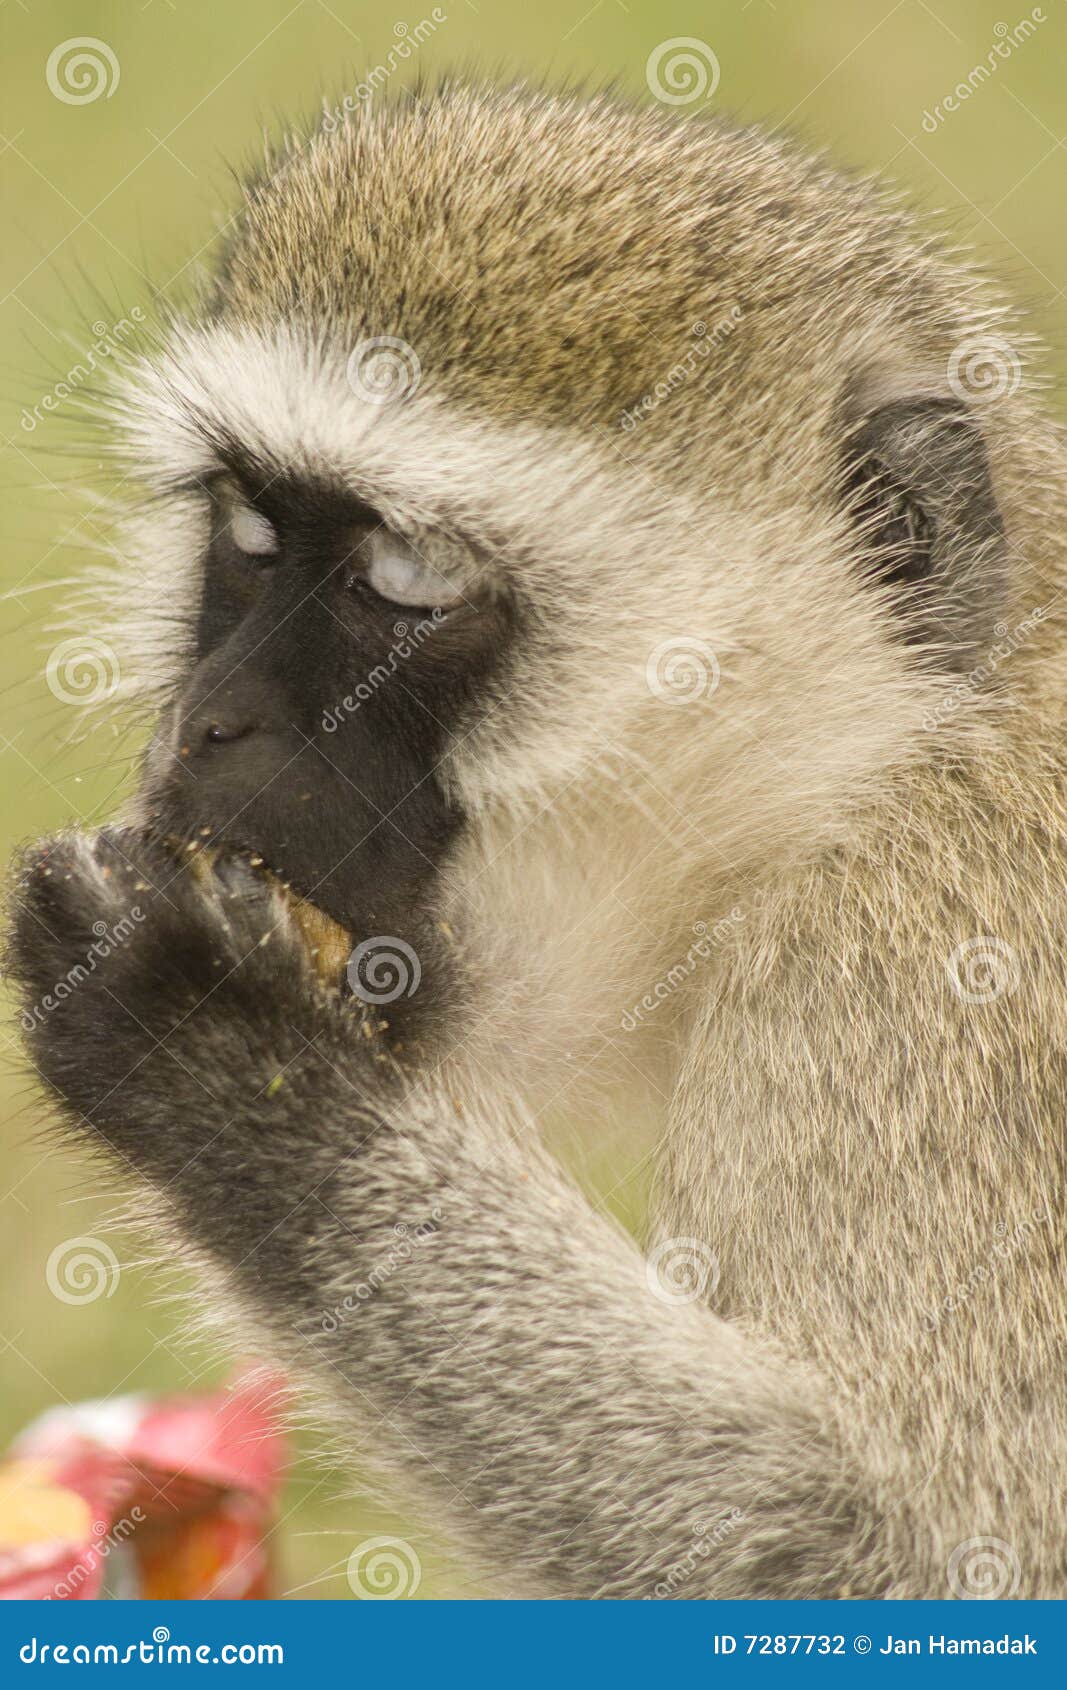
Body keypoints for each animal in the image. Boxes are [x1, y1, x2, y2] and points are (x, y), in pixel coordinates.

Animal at [6, 79, 1067, 1600]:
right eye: (252, 537)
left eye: (403, 583)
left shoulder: (916, 975)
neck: (865, 775)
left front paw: (222, 1063)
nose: (207, 725)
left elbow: (924, 1558)